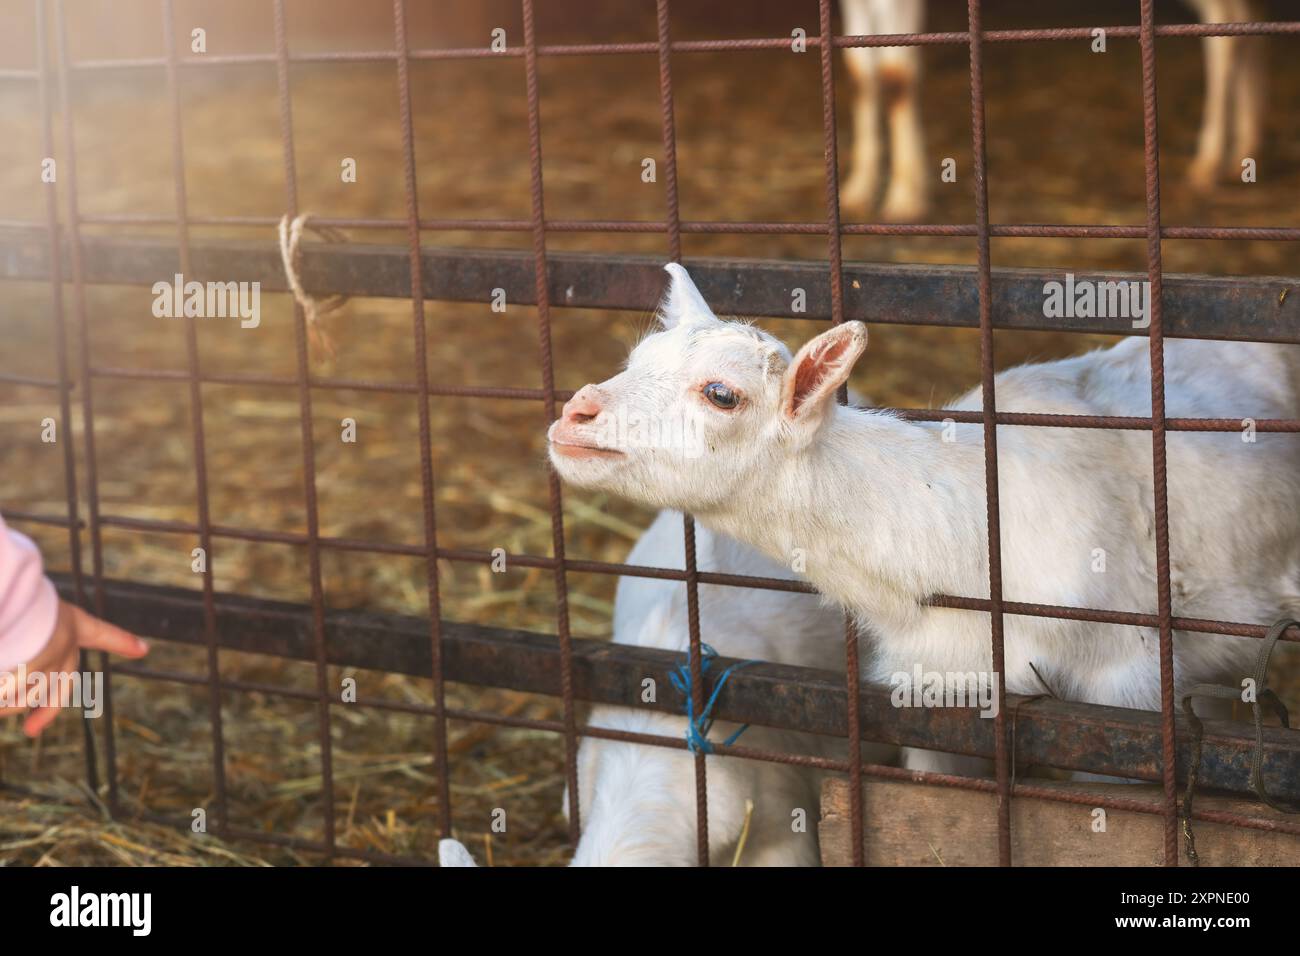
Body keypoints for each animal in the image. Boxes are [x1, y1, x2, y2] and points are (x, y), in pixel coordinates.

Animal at [547, 264, 1300, 773]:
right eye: (635, 359)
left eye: (721, 394)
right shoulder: (931, 697)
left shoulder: (1125, 687)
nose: (574, 414)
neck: (963, 535)